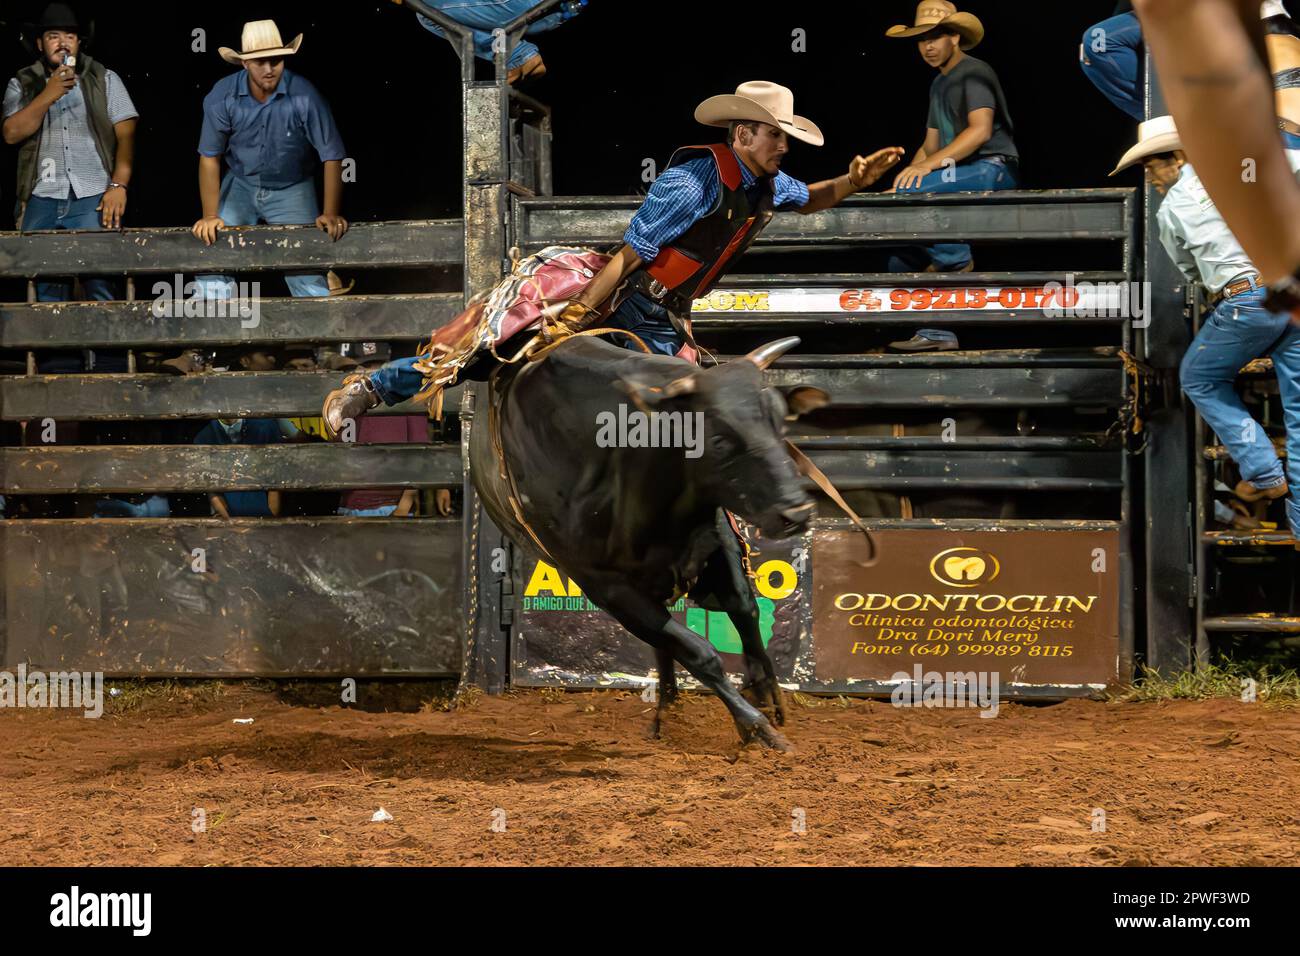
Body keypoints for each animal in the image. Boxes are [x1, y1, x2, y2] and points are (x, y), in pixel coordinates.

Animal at [468, 334, 825, 751]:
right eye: (718, 438)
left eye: (780, 424)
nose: (796, 512)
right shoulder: (609, 589)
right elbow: (701, 653)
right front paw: (756, 728)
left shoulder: (714, 541)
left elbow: (744, 609)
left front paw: (766, 692)